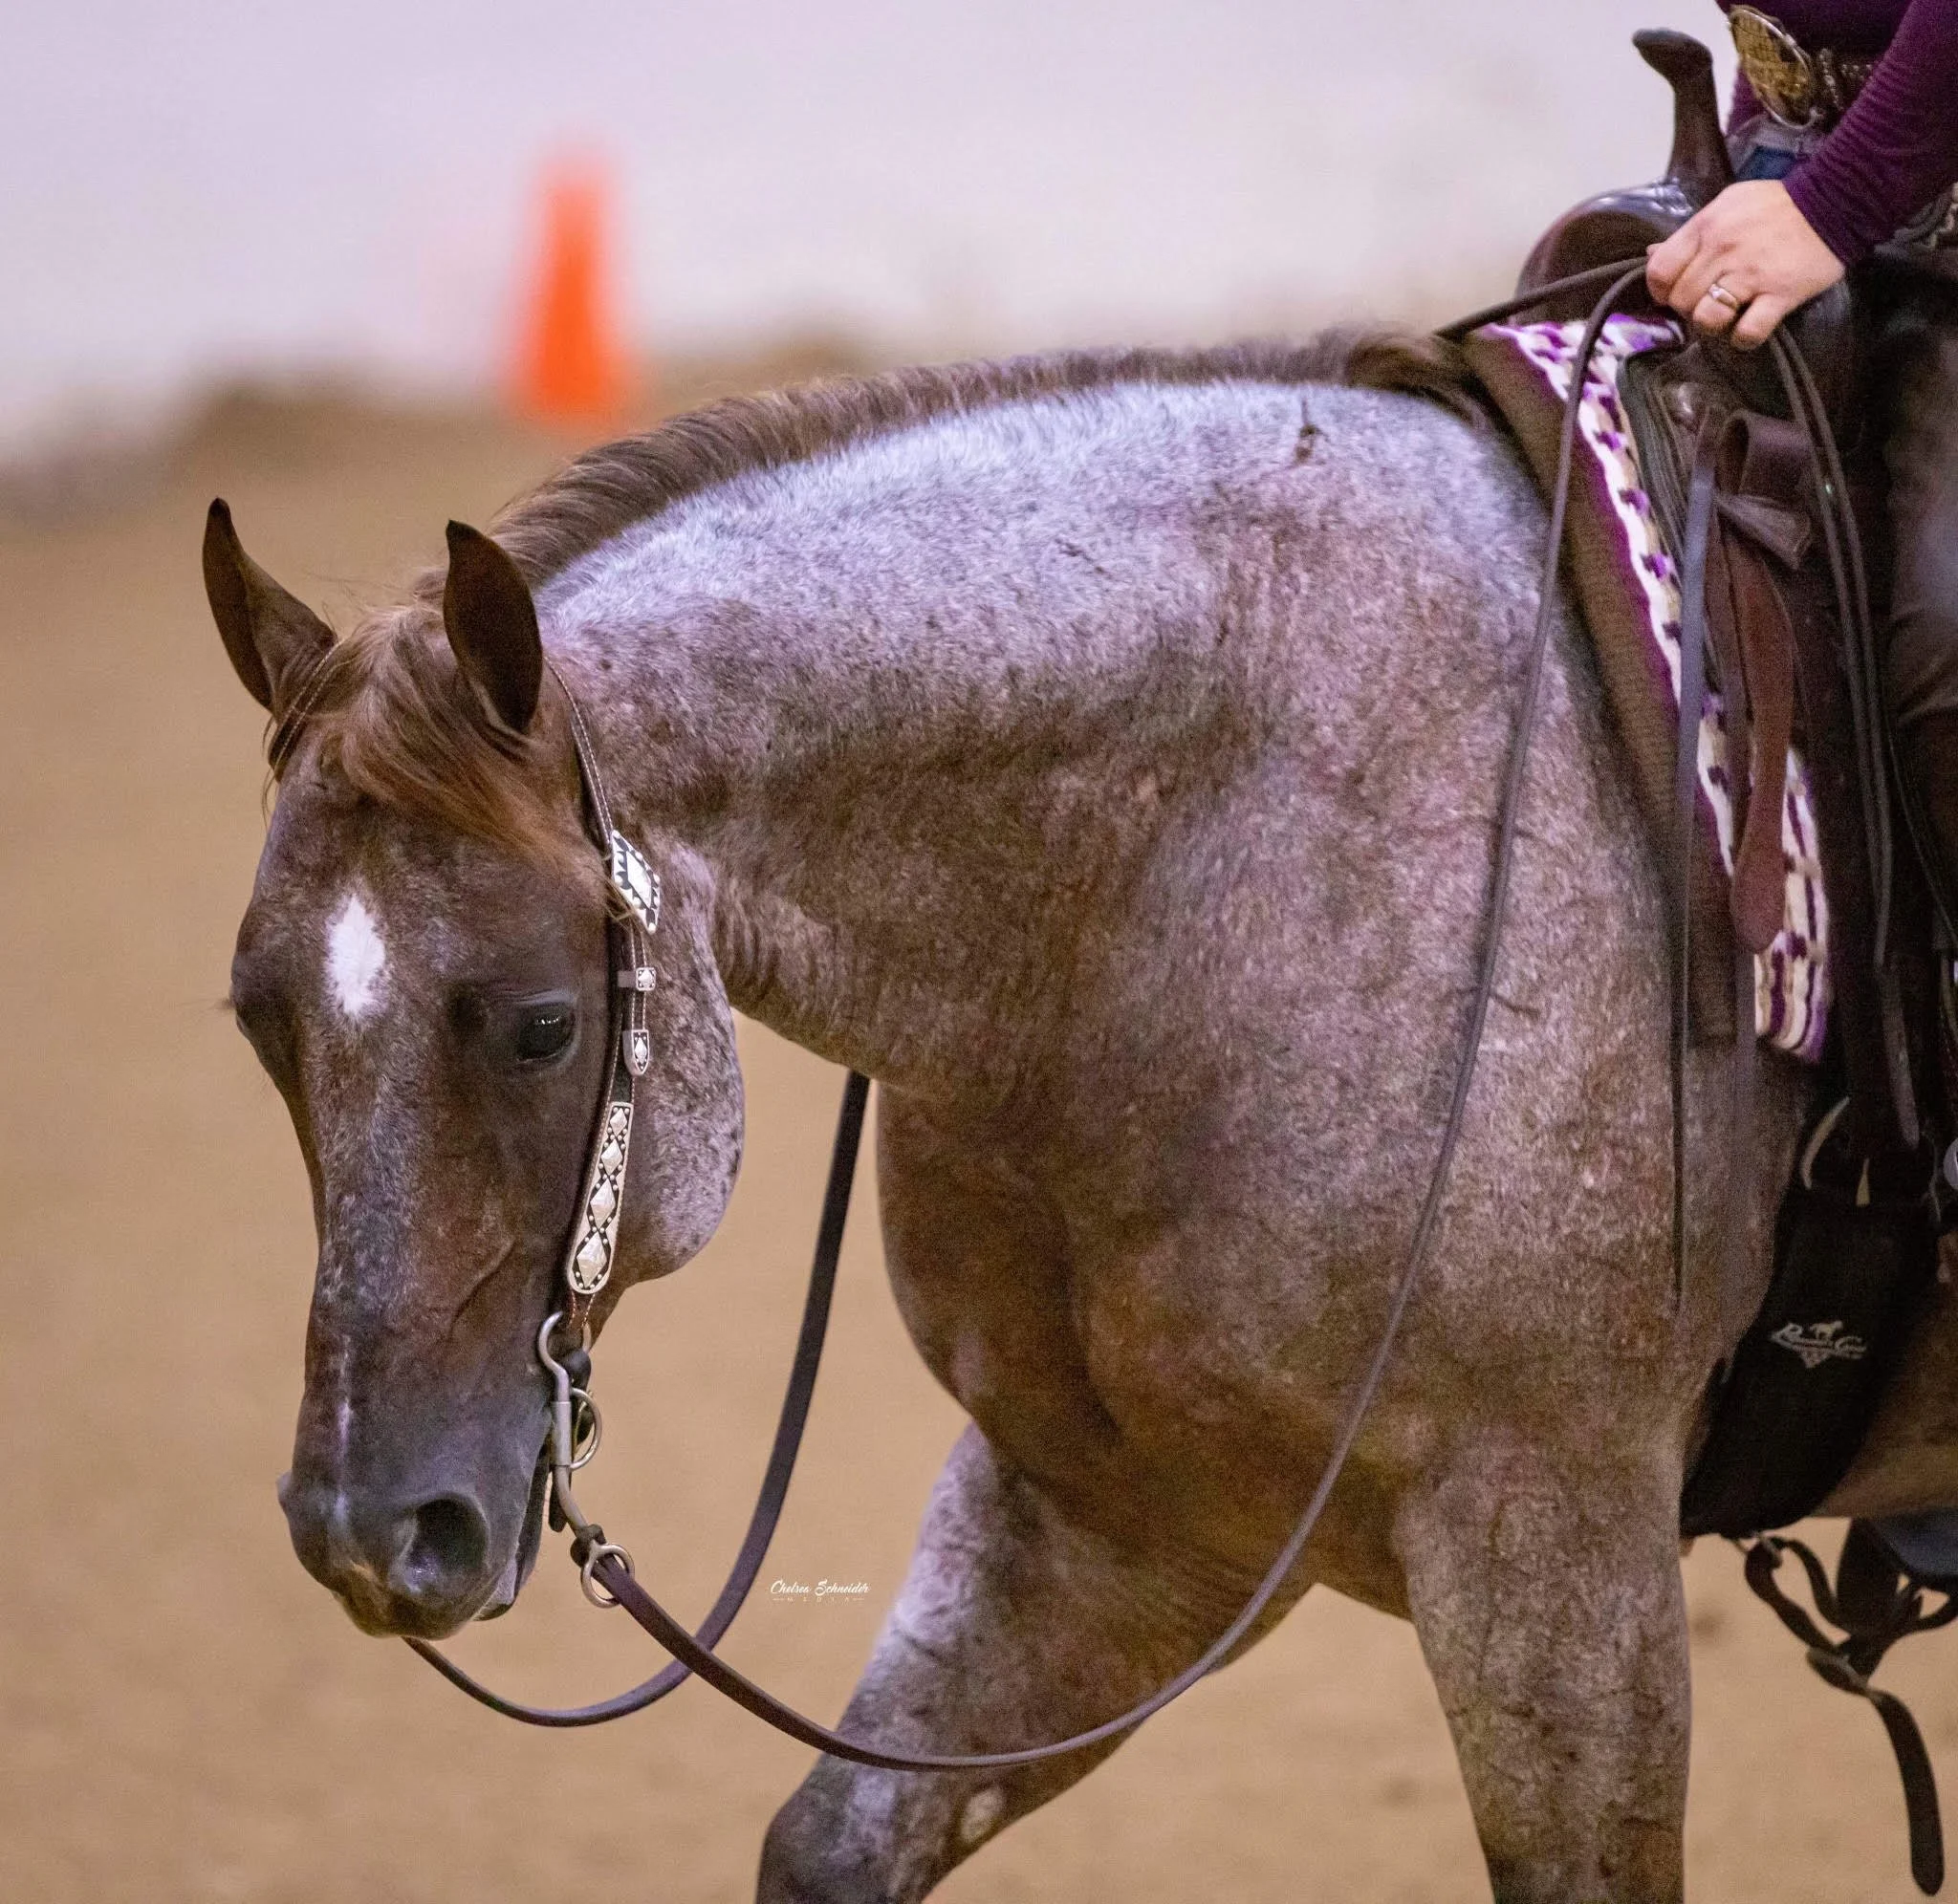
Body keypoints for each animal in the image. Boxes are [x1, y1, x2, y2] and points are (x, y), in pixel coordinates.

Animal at [208, 333, 1958, 1902]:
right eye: (259, 1019)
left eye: (541, 1023)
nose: (370, 1527)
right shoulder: (1109, 1525)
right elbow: (834, 1846)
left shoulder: (1556, 1550)